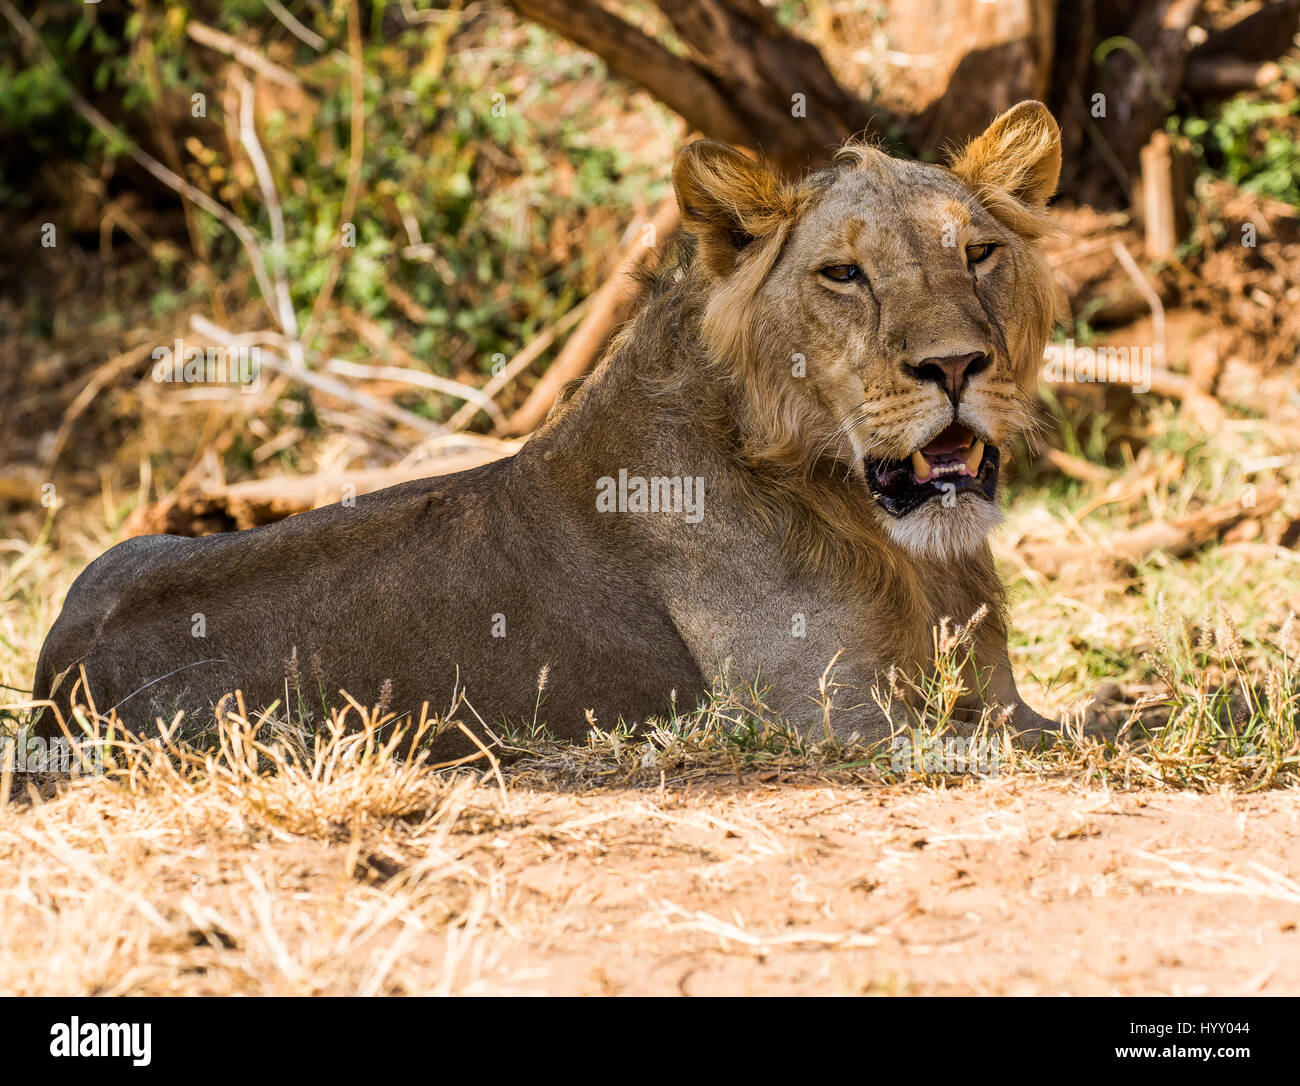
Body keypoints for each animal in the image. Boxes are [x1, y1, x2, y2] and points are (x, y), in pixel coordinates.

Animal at [32, 101, 1062, 753]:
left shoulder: (999, 699)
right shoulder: (830, 720)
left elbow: (1073, 719)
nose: (956, 366)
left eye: (979, 252)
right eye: (844, 275)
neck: (894, 542)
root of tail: (53, 686)